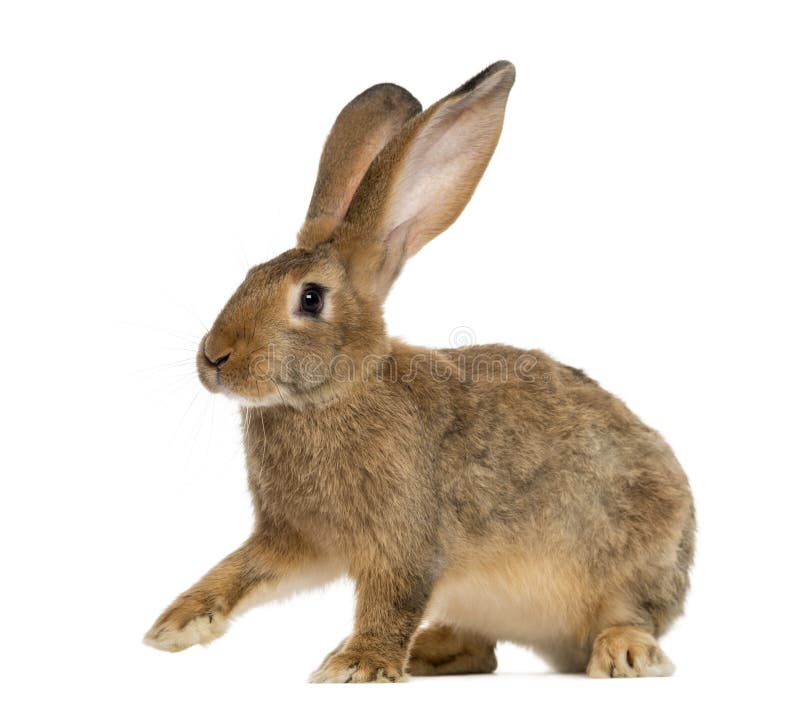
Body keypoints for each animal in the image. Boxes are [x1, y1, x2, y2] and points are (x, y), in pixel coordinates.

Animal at [144, 60, 695, 682]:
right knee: (483, 647)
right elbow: (244, 570)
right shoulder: (297, 541)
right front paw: (177, 624)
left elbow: (393, 596)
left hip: (636, 559)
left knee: (633, 614)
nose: (214, 357)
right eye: (248, 275)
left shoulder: (405, 536)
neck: (337, 393)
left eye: (310, 299)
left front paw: (357, 665)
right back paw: (436, 649)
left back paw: (623, 652)